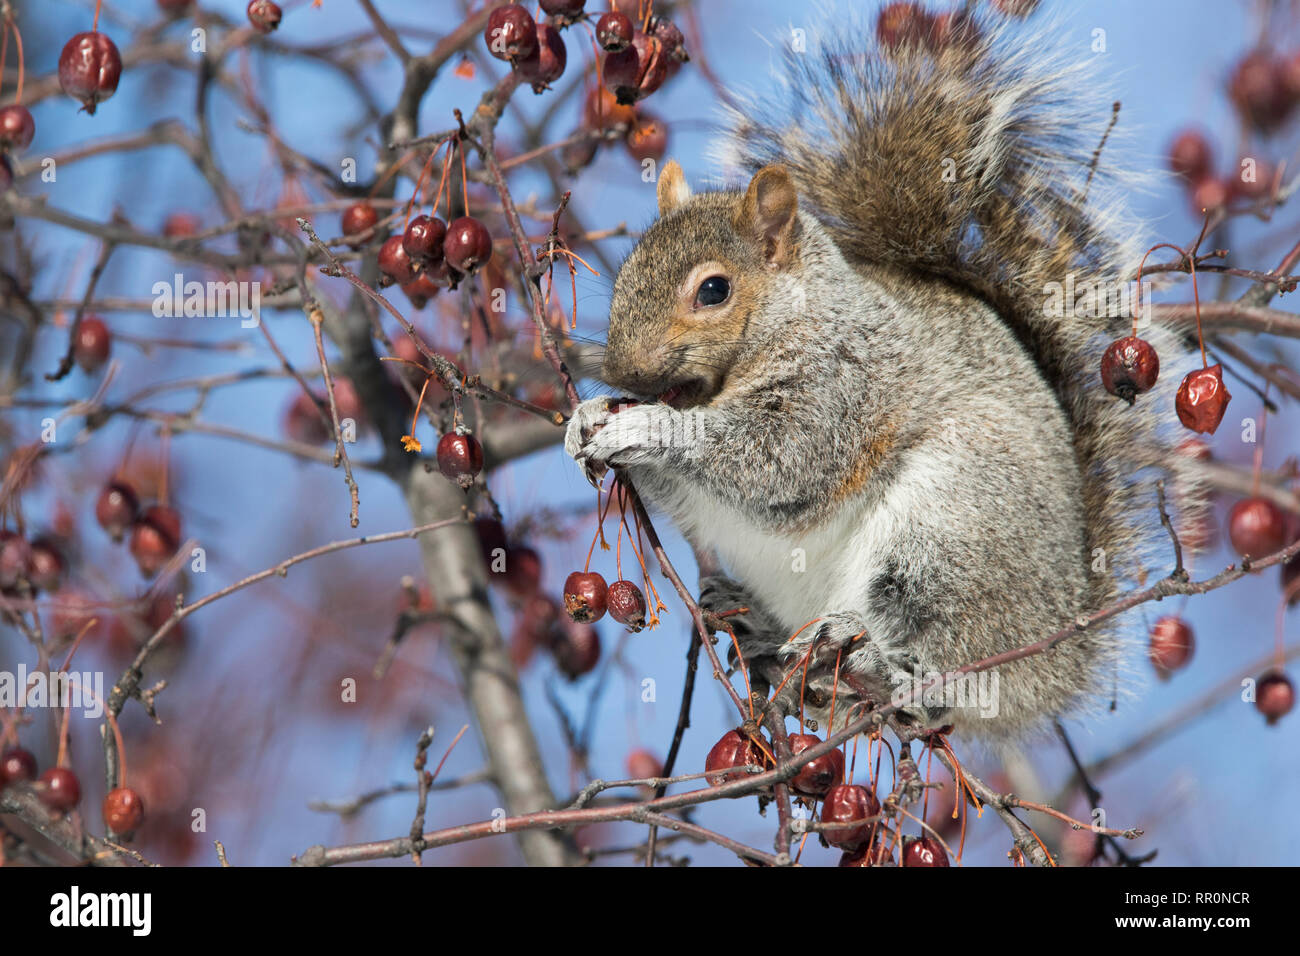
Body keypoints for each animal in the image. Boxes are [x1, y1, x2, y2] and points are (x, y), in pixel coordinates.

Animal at [564, 9, 1199, 742]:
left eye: (714, 291)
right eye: (628, 271)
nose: (623, 368)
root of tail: (1058, 660)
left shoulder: (846, 384)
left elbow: (778, 460)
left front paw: (647, 426)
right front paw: (590, 416)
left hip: (953, 524)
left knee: (950, 671)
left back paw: (876, 663)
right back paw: (771, 640)